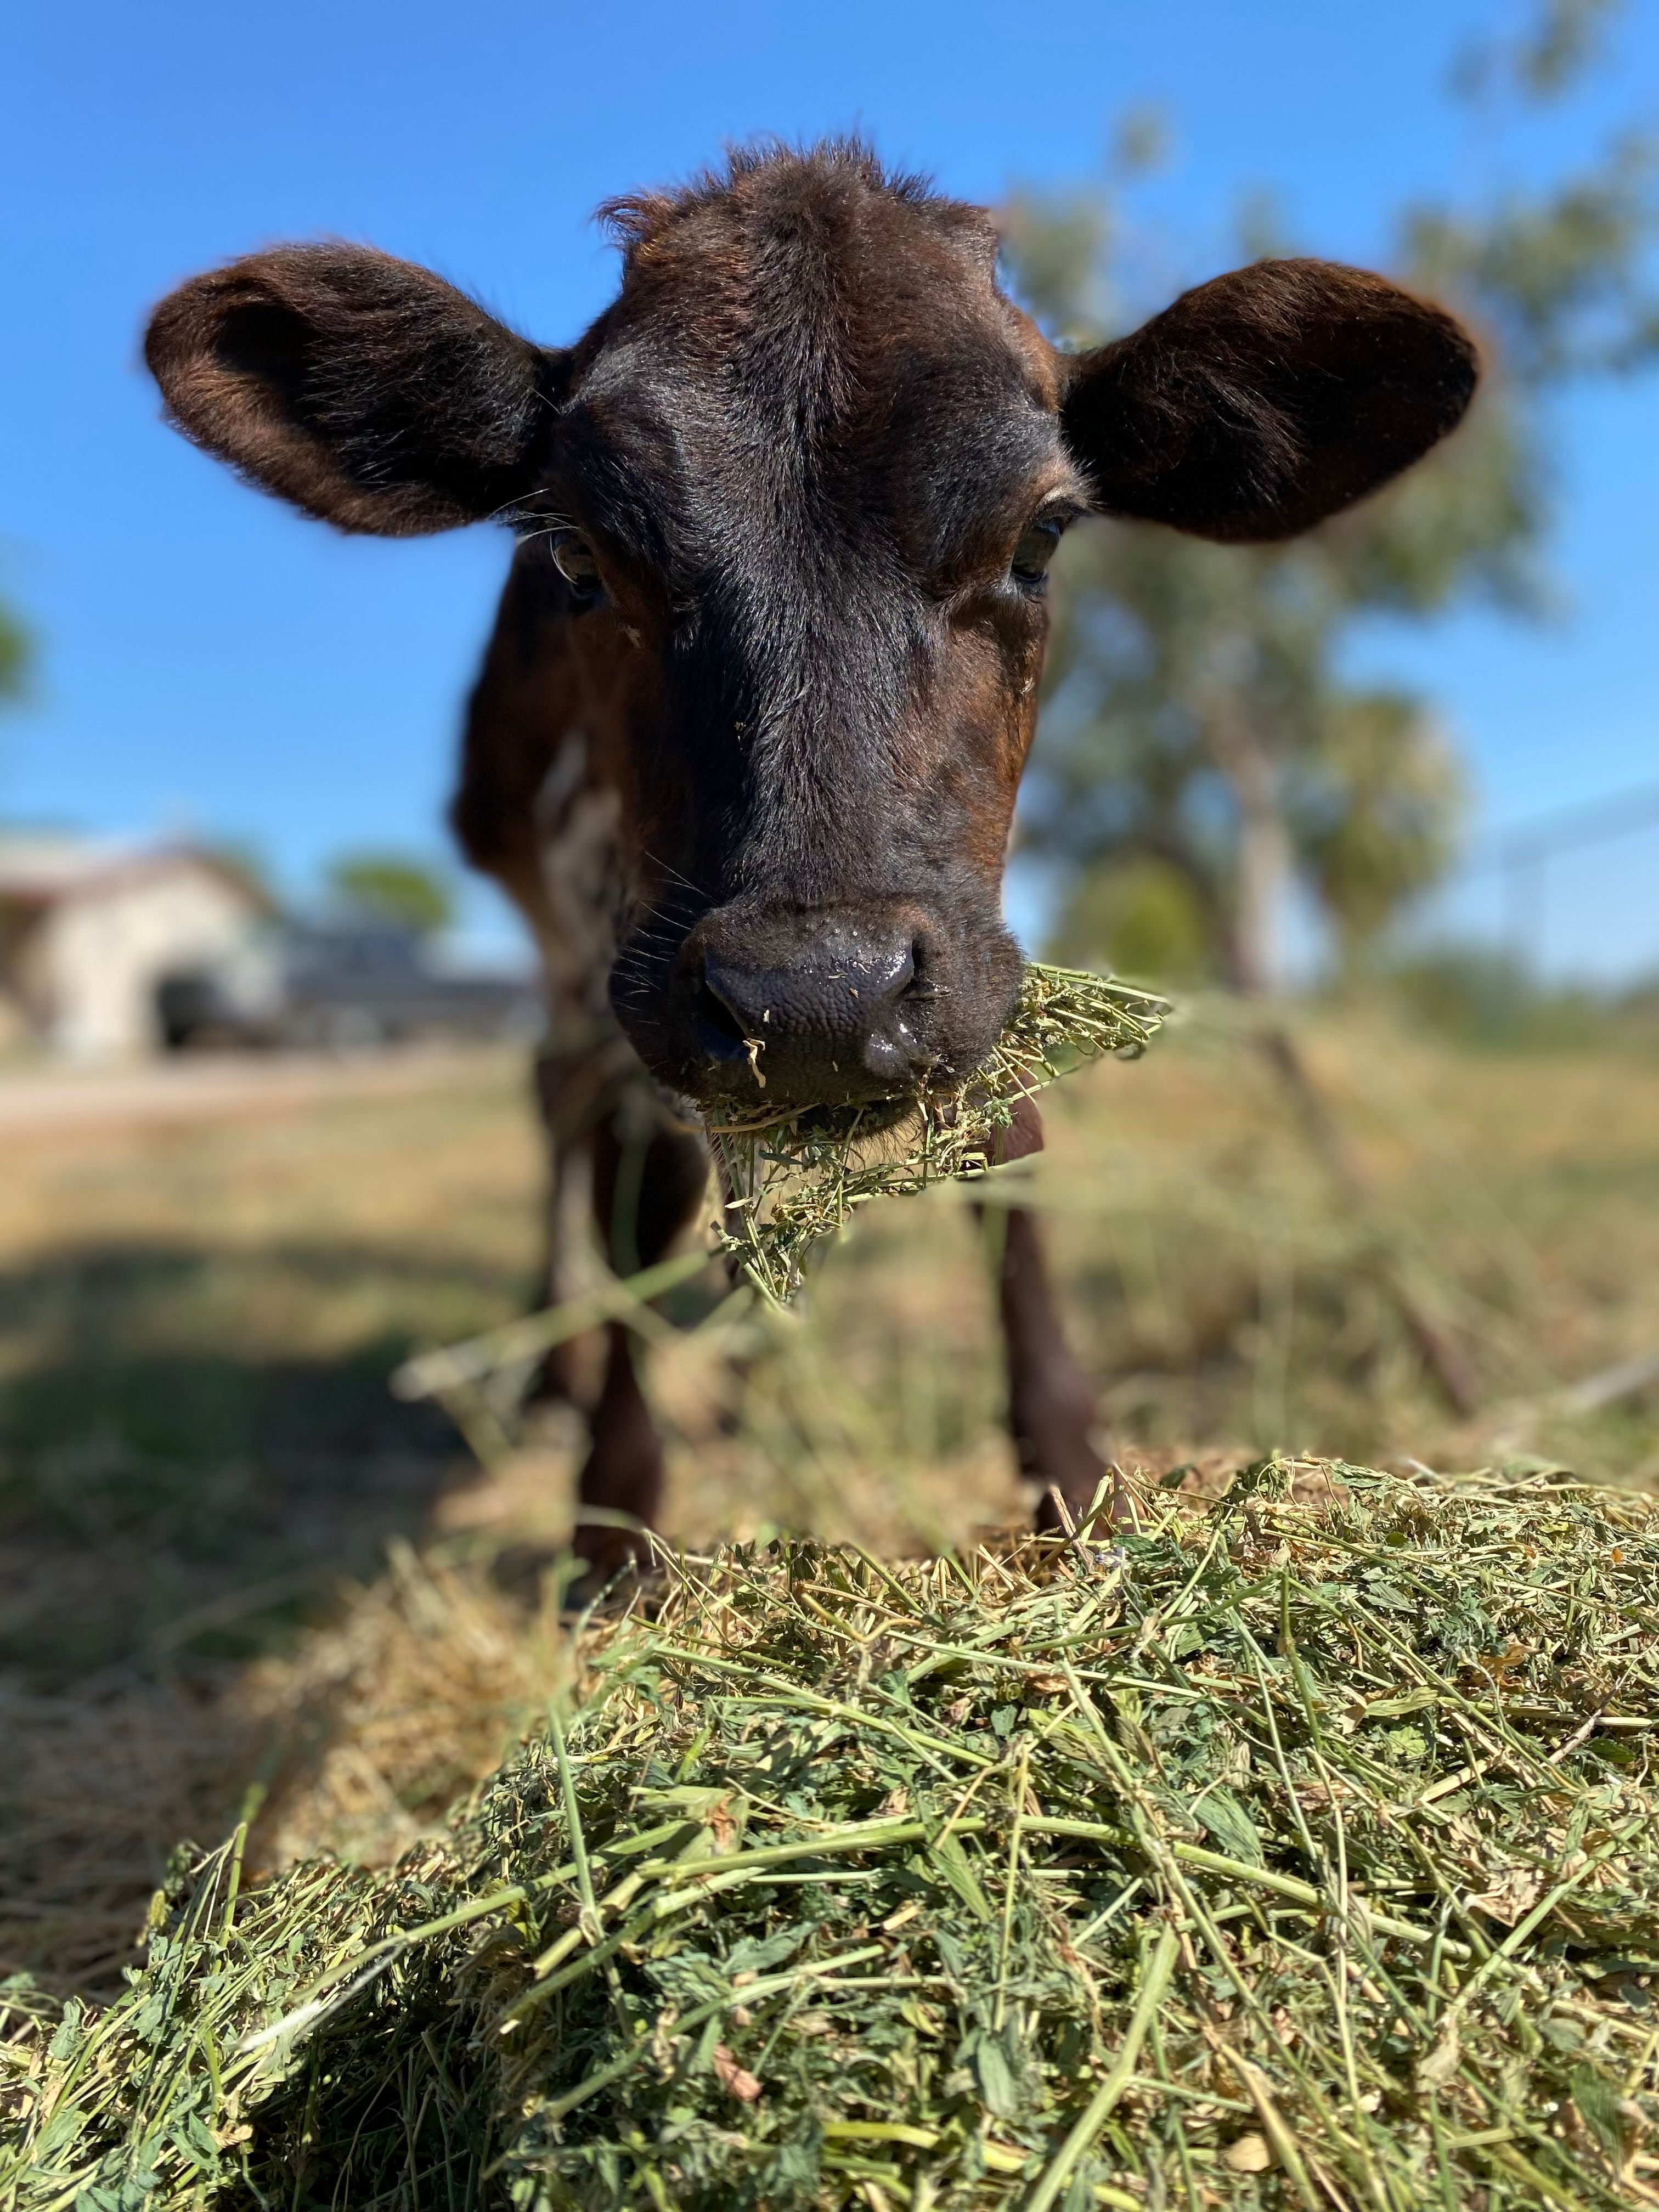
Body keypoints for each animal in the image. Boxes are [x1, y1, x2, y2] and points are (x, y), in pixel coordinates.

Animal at [144, 140, 1477, 1575]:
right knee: (566, 1107)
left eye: (1040, 535)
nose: (817, 998)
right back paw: (561, 1378)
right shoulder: (627, 956)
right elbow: (635, 1195)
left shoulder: (962, 949)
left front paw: (1075, 1472)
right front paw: (613, 1526)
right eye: (575, 551)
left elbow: (1007, 1128)